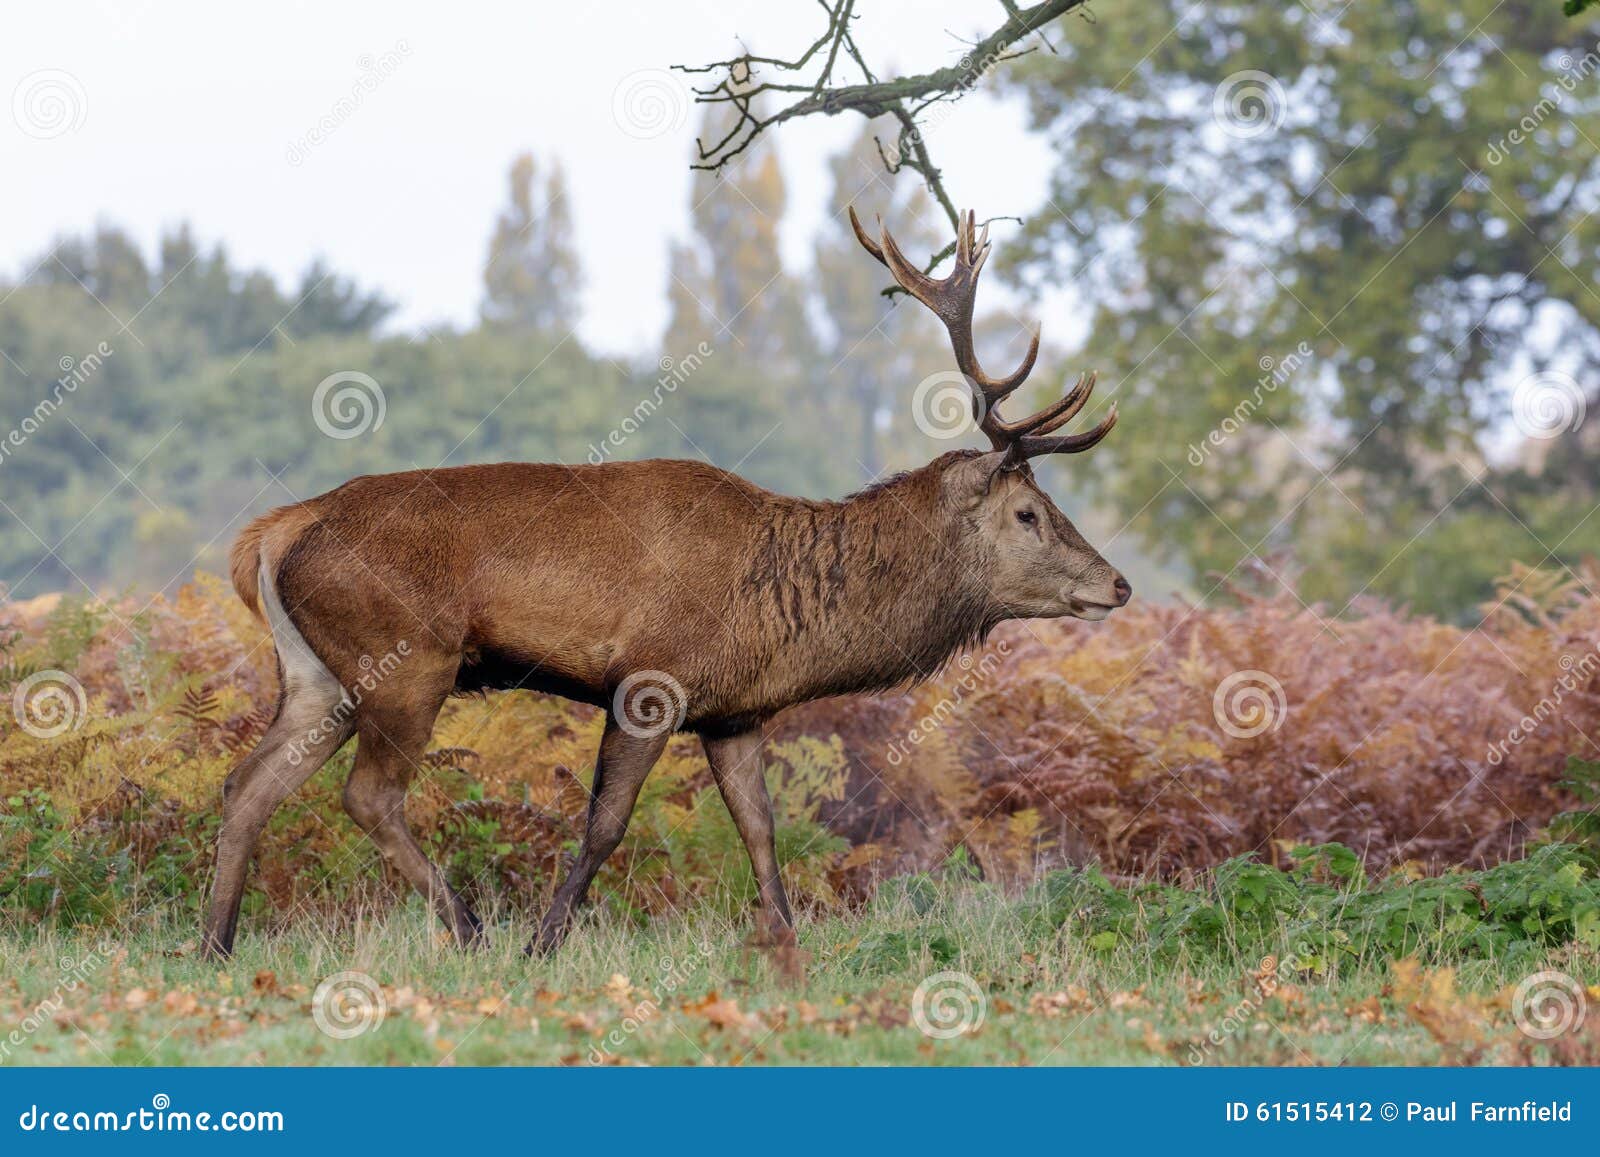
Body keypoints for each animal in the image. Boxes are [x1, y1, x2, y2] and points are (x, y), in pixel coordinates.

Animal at [201, 207, 1131, 960]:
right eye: (1028, 513)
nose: (1117, 585)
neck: (782, 614)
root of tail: (276, 530)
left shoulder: (735, 712)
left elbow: (761, 831)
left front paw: (785, 945)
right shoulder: (650, 679)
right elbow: (606, 824)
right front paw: (543, 943)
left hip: (320, 675)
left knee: (248, 784)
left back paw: (216, 944)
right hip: (406, 659)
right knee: (368, 795)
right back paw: (467, 929)